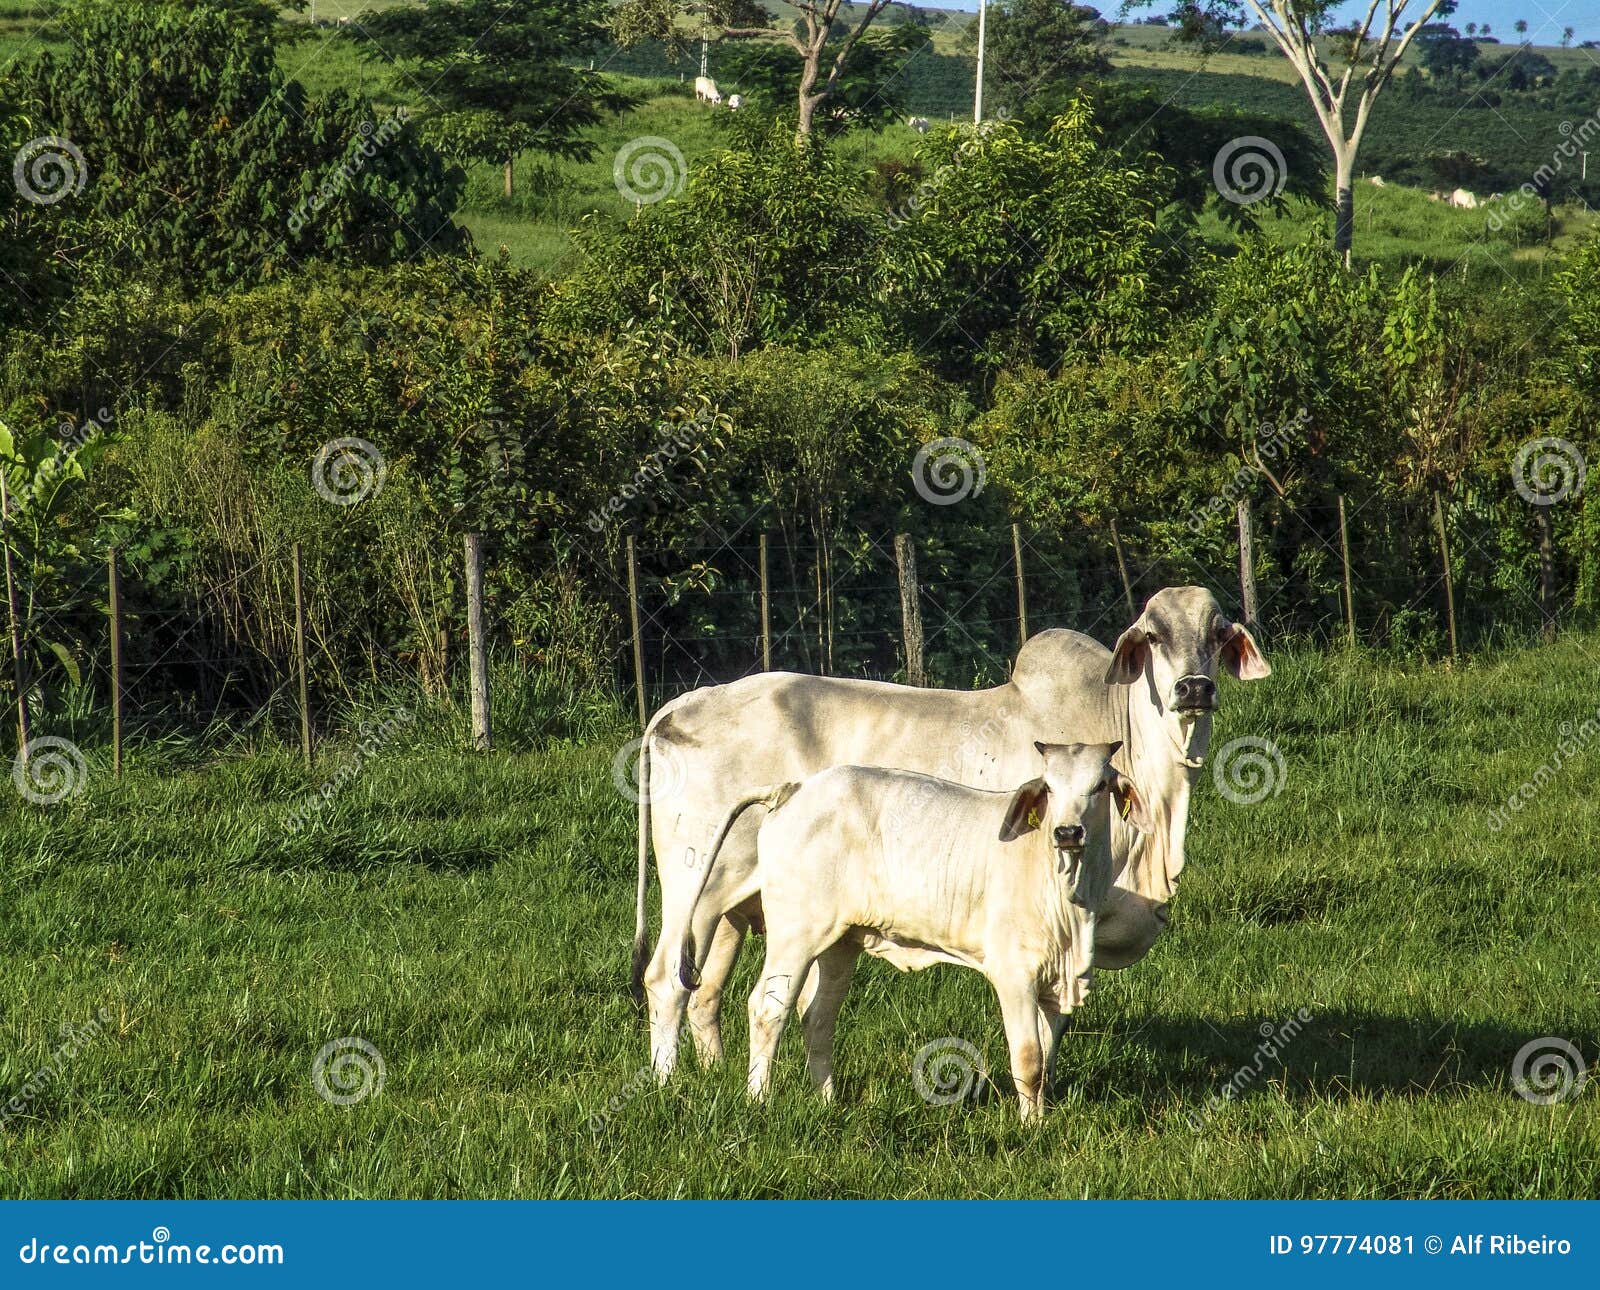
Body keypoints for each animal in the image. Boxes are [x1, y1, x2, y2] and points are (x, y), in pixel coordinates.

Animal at [633, 585, 1271, 1081]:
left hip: (731, 909)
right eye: (1155, 635)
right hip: (694, 883)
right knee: (666, 980)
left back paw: (714, 1074)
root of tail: (678, 706)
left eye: (1217, 633)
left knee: (706, 992)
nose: (1193, 689)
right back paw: (669, 1087)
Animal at [681, 743, 1147, 1119]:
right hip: (795, 933)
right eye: (1048, 787)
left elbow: (1047, 1063)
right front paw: (1030, 1127)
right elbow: (1029, 1061)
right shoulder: (1014, 975)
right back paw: (758, 1099)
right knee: (767, 1008)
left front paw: (1041, 1118)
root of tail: (794, 788)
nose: (1067, 832)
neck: (1070, 897)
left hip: (840, 943)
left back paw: (828, 1101)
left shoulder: (1058, 982)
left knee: (818, 1017)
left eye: (1100, 785)